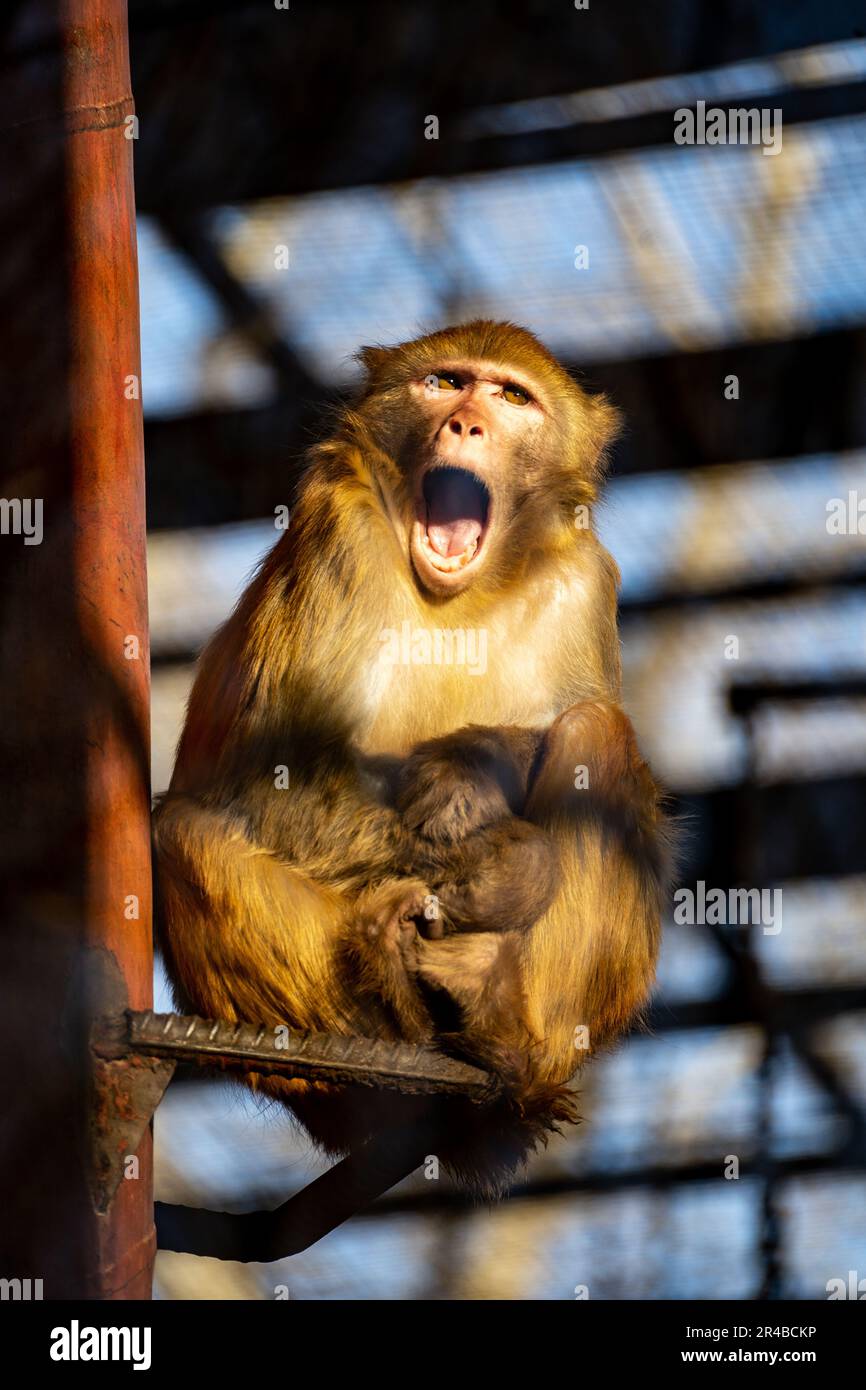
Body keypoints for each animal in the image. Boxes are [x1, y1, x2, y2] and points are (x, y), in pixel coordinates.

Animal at [153, 319, 671, 1194]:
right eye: (446, 382)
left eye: (511, 397)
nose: (465, 423)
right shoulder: (337, 525)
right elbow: (267, 782)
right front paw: (506, 866)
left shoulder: (584, 580)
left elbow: (572, 726)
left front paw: (471, 768)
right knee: (184, 833)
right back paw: (387, 1005)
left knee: (597, 734)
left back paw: (504, 1032)